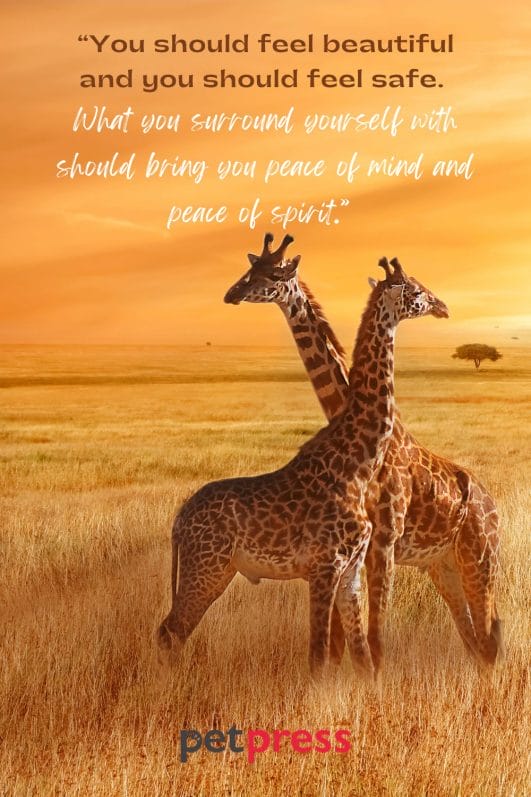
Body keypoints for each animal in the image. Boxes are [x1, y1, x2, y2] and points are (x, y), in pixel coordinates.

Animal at [158, 257, 450, 676]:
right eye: (415, 291)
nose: (442, 306)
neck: (358, 461)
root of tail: (179, 521)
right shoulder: (326, 566)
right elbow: (320, 656)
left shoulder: (351, 570)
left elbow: (361, 657)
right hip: (208, 567)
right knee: (170, 631)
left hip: (218, 569)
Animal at [224, 234, 503, 673]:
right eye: (251, 270)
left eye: (274, 275)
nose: (232, 293)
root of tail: (494, 507)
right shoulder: (350, 550)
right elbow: (344, 636)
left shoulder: (382, 540)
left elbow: (373, 634)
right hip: (442, 566)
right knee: (476, 638)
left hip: (479, 561)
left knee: (489, 636)